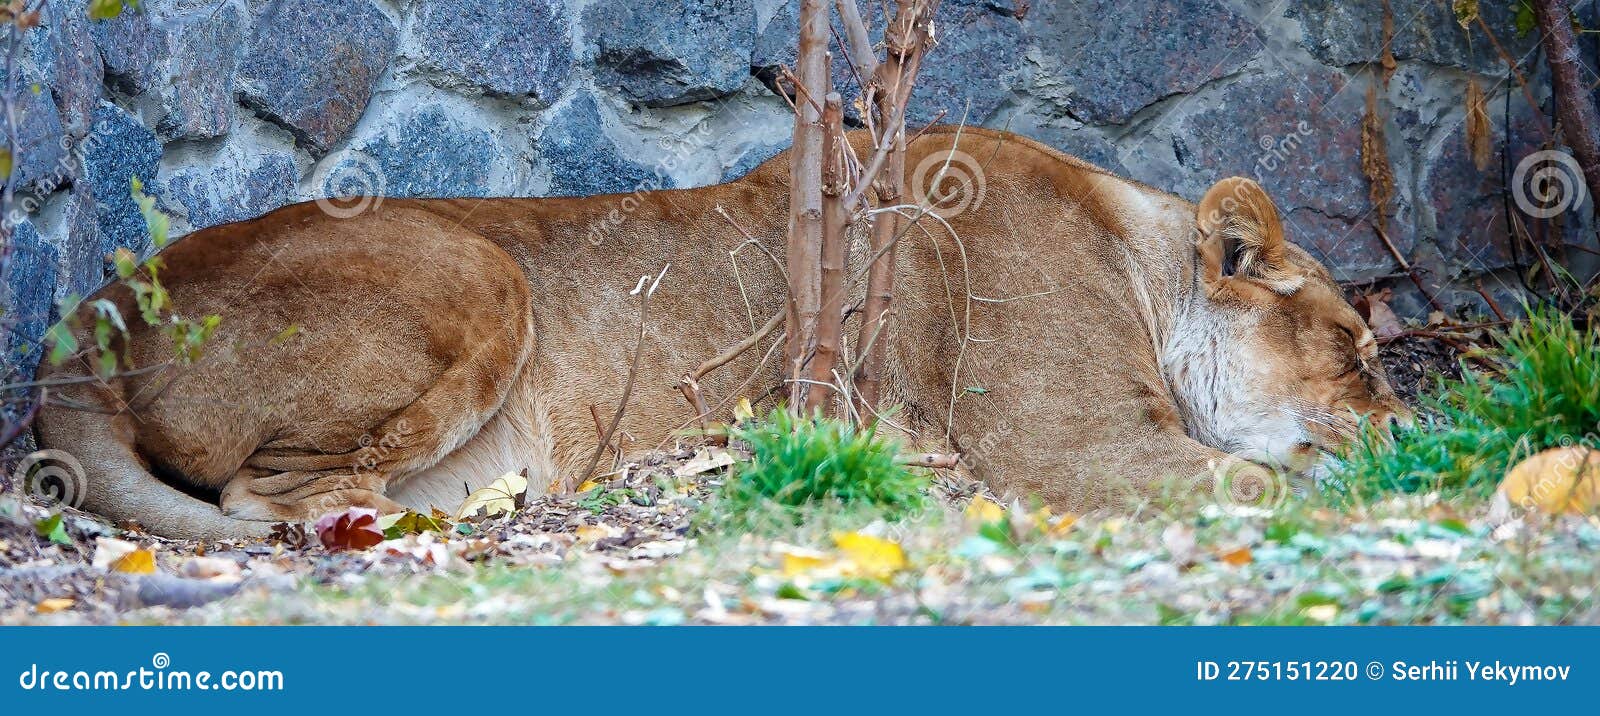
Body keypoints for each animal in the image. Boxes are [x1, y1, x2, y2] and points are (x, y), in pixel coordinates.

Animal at [32, 128, 1408, 540]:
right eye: (1356, 343)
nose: (1413, 416)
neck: (1136, 249)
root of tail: (95, 305)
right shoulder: (1070, 440)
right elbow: (1266, 481)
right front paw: (1414, 477)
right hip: (483, 272)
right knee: (271, 501)